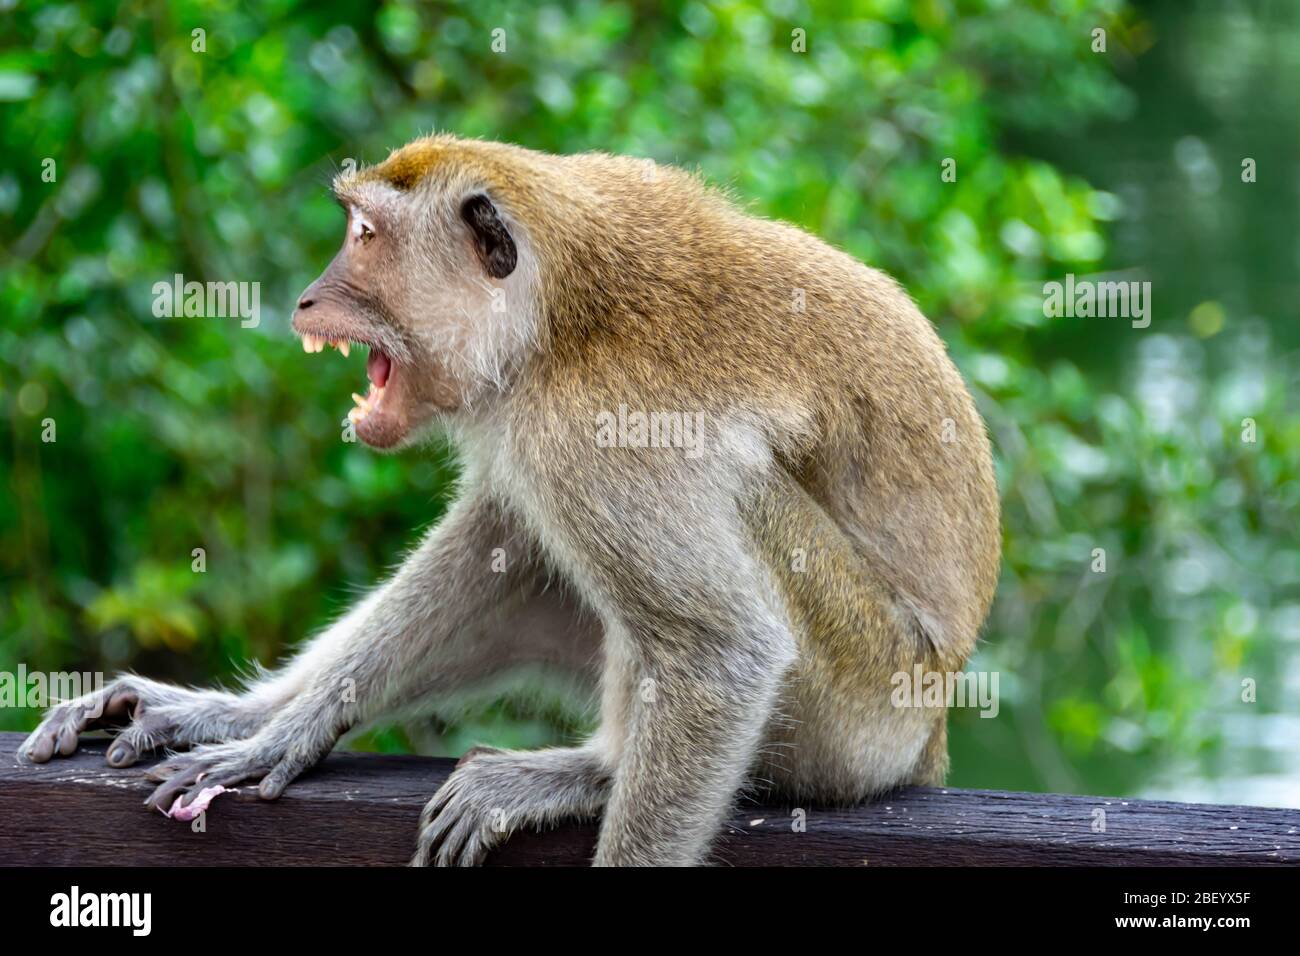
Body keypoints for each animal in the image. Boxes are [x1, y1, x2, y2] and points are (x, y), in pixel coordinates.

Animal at [22, 134, 1001, 867]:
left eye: (365, 233)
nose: (305, 297)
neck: (552, 320)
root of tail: (926, 733)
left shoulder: (592, 435)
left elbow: (723, 654)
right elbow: (494, 546)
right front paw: (272, 724)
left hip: (859, 704)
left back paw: (594, 771)